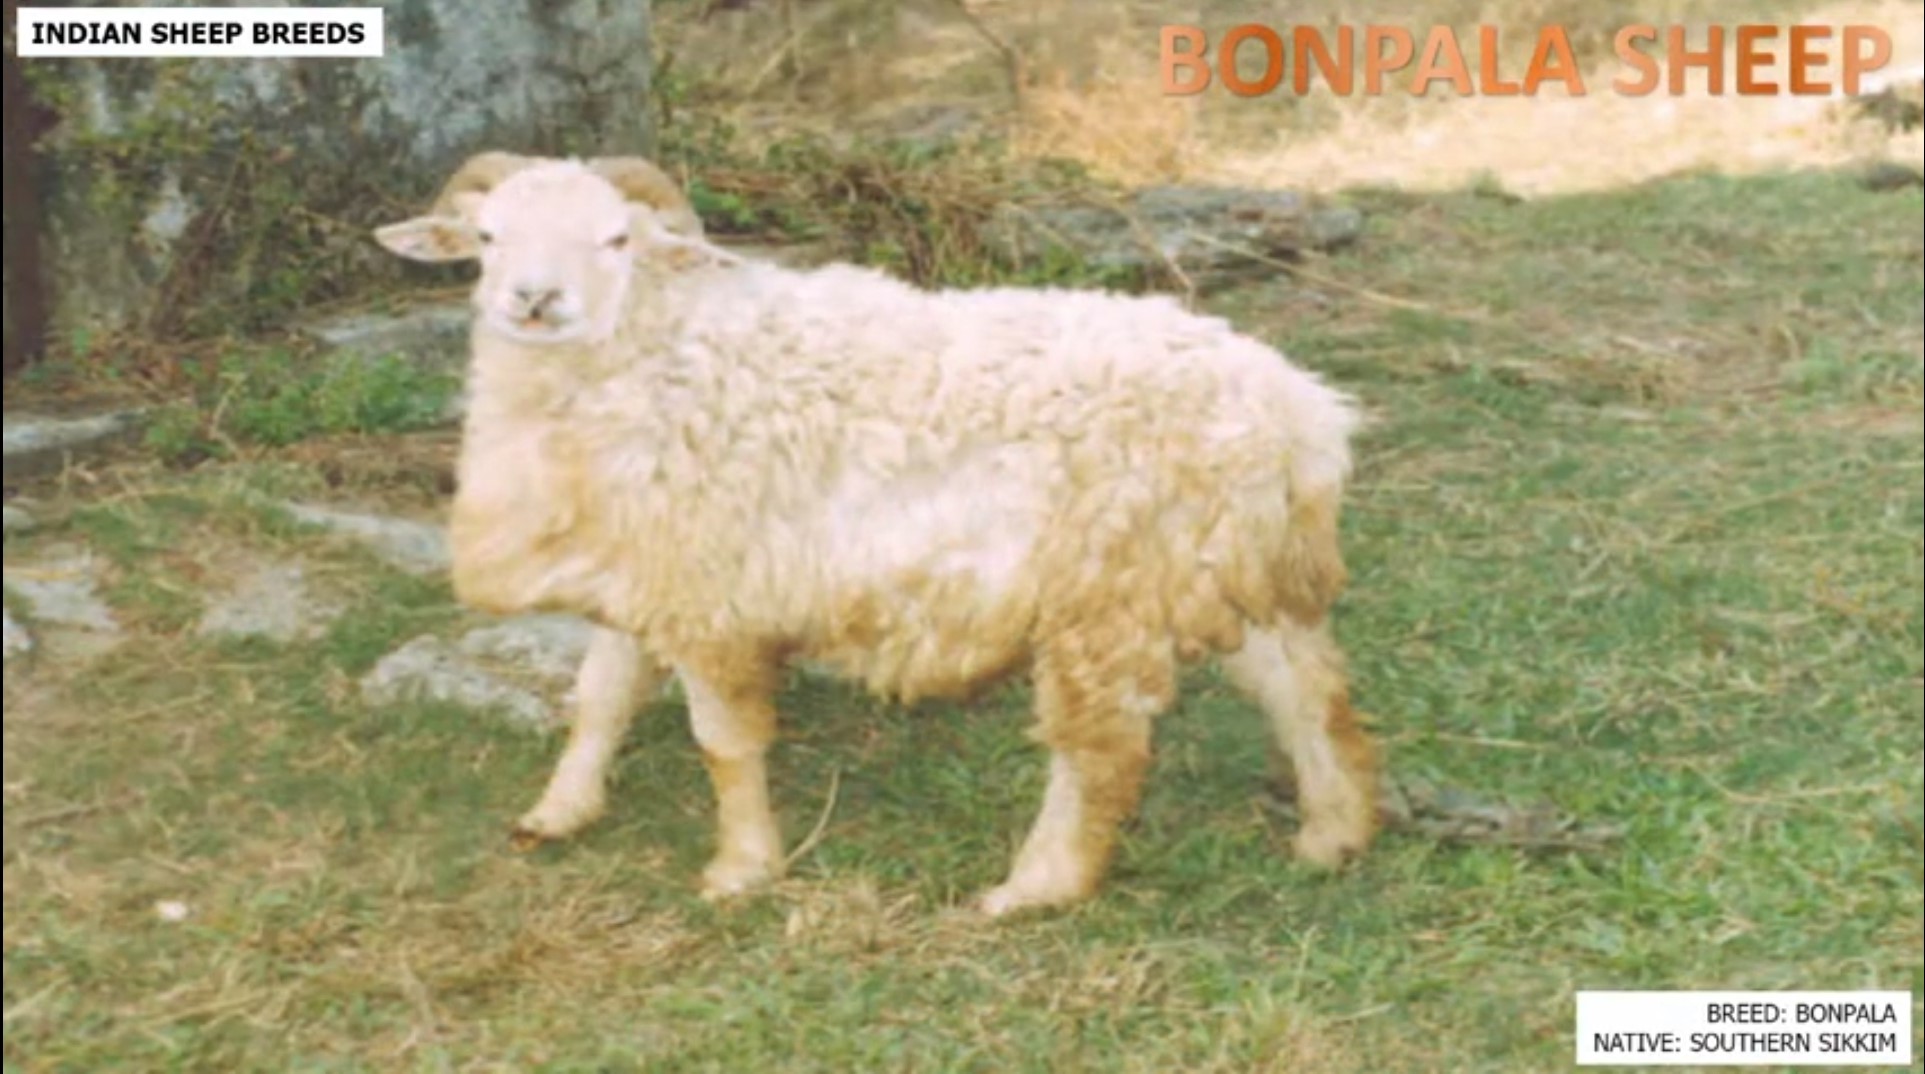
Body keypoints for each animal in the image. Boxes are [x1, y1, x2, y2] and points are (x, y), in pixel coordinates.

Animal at [372, 151, 1382, 916]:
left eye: (616, 239)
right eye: (488, 238)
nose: (535, 300)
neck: (654, 345)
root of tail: (1300, 413)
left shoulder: (708, 592)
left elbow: (724, 742)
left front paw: (743, 868)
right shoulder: (646, 573)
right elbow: (600, 699)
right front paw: (557, 811)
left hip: (1108, 591)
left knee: (1104, 748)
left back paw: (1034, 888)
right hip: (1217, 564)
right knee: (1305, 690)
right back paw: (1332, 832)